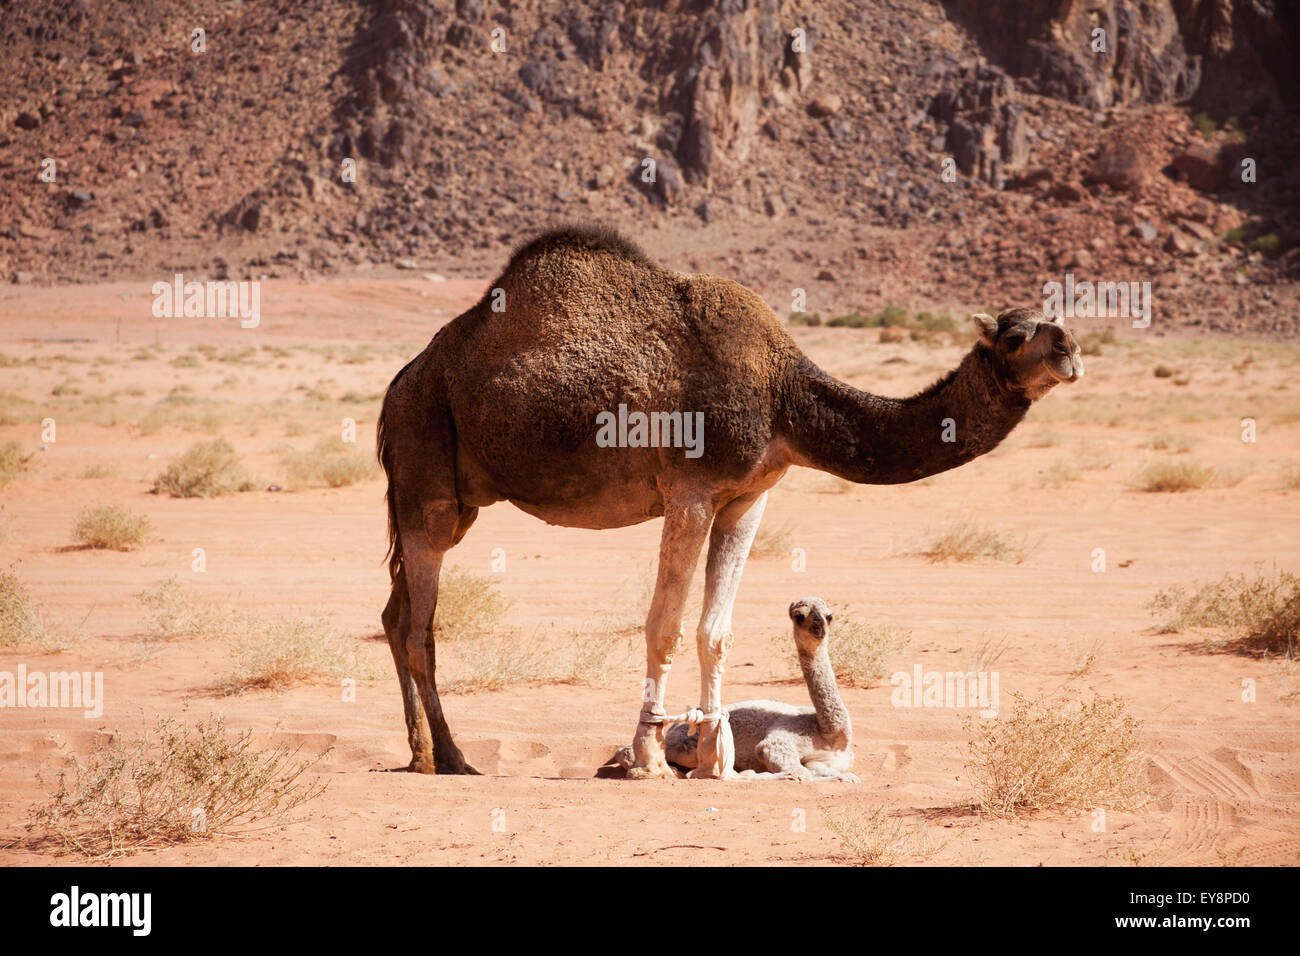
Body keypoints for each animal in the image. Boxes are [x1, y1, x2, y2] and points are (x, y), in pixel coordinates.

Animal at [616, 596, 858, 781]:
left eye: (829, 616)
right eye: (800, 616)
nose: (818, 628)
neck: (829, 735)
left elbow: (827, 771)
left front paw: (843, 777)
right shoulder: (778, 742)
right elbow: (798, 770)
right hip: (686, 746)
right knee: (628, 752)